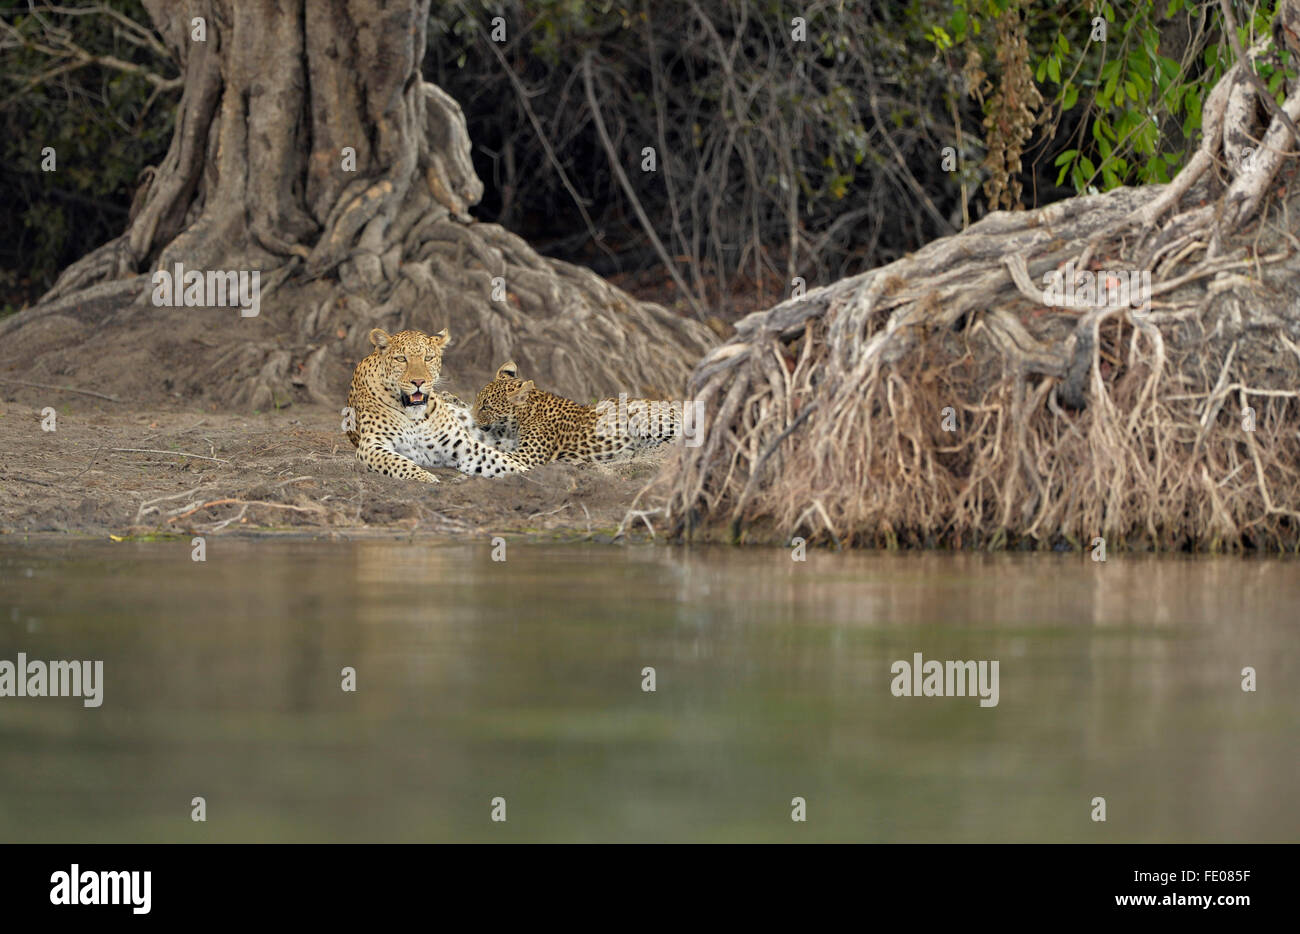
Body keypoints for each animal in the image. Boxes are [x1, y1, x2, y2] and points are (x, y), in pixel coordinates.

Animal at [346, 328, 529, 483]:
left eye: (428, 358)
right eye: (401, 359)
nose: (418, 382)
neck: (415, 416)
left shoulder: (465, 446)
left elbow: (498, 460)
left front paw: (526, 477)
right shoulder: (372, 445)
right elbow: (399, 462)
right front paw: (426, 477)